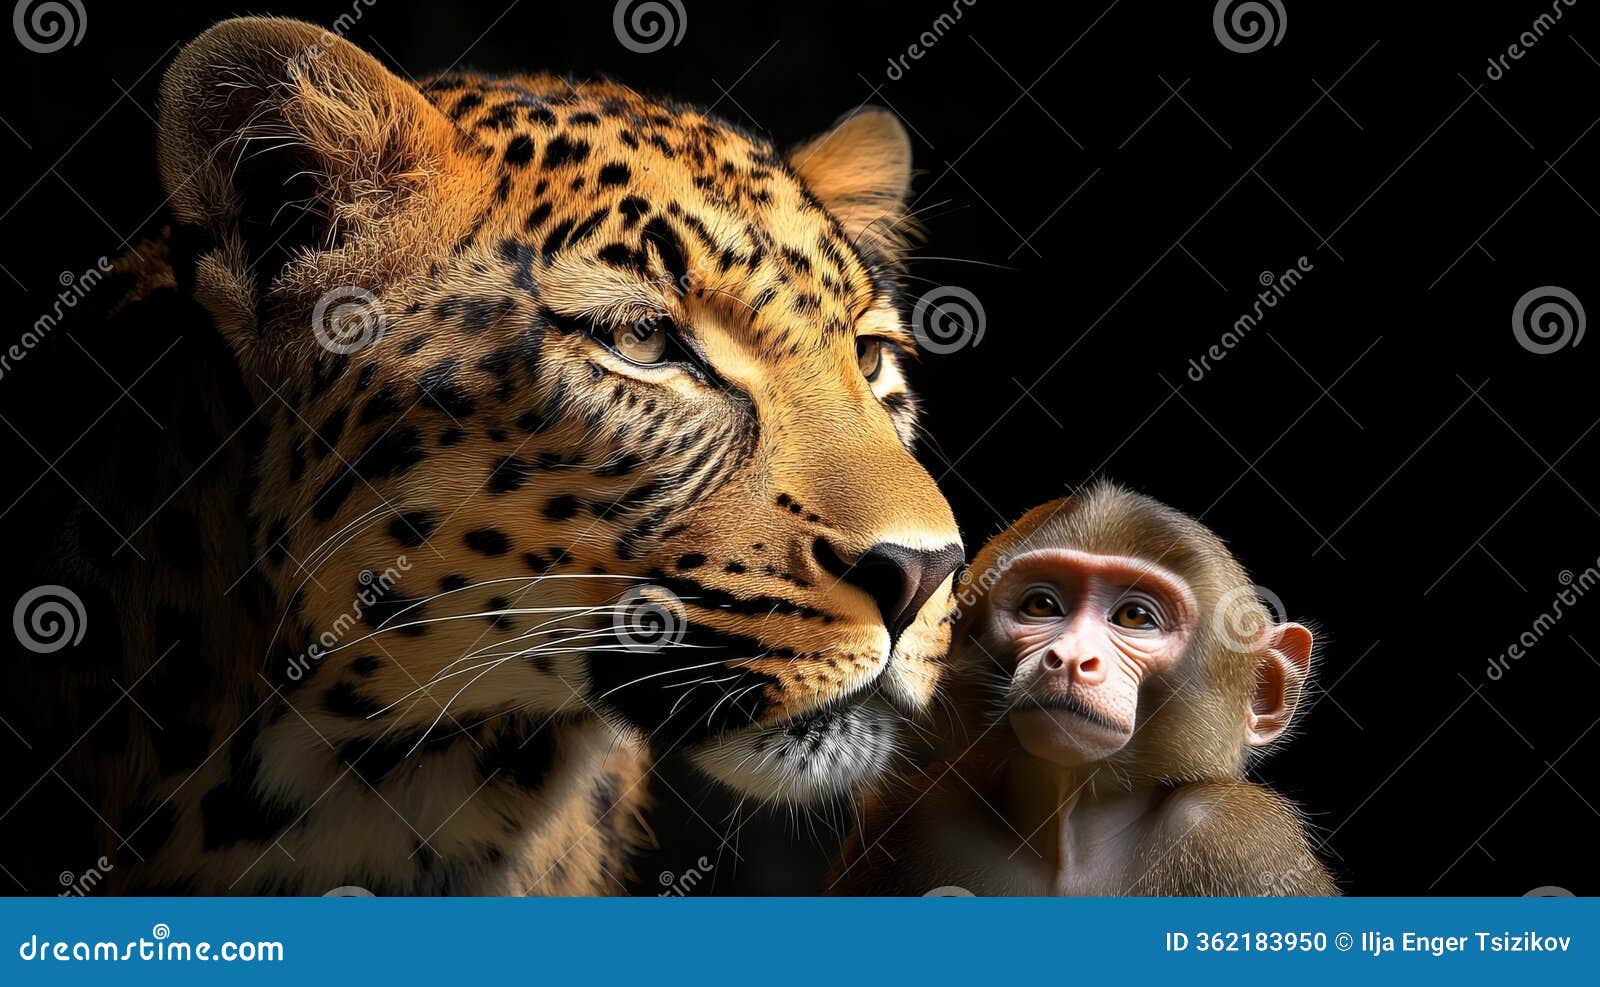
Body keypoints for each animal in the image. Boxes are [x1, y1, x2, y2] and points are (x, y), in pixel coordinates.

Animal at [832, 482, 1337, 896]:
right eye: (1042, 605)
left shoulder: (1239, 834)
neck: (1068, 834)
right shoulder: (917, 816)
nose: (1072, 657)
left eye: (1135, 617)